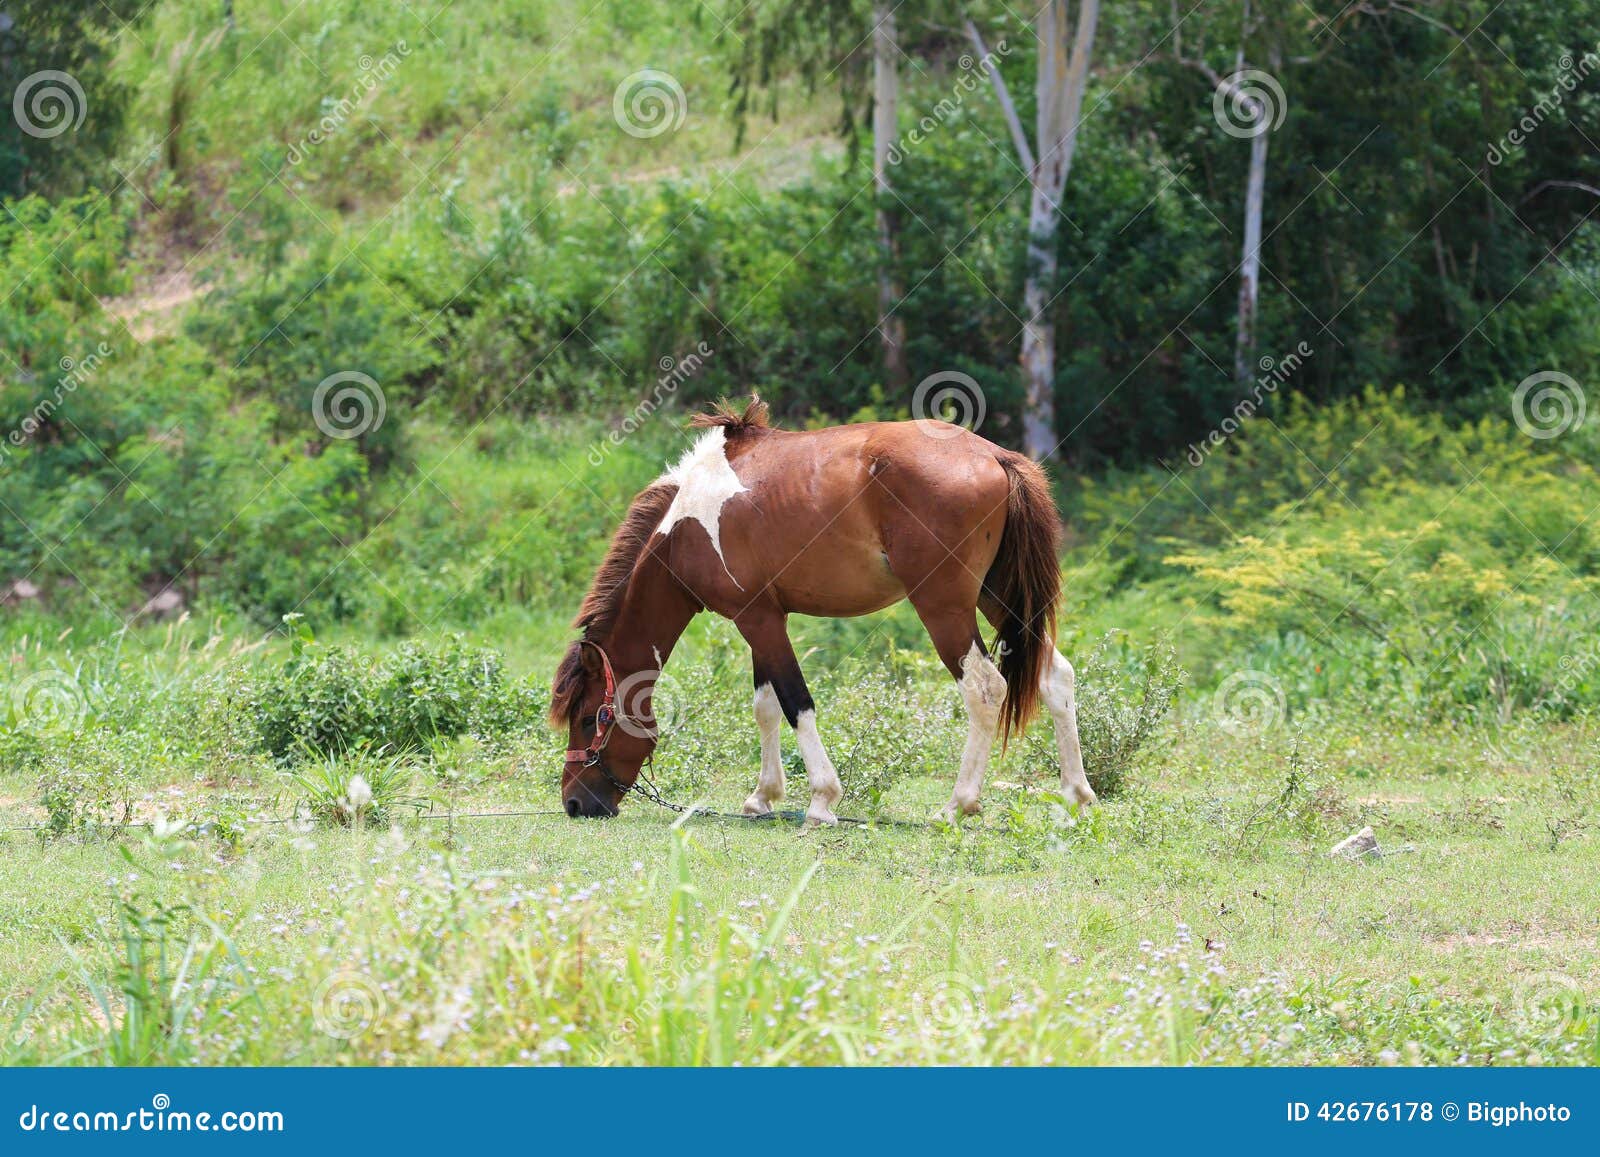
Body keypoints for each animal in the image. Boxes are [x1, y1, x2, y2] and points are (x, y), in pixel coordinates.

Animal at [550, 397, 1095, 824]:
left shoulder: (758, 620)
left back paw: (958, 805)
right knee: (1056, 677)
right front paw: (763, 797)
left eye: (589, 718)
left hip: (945, 608)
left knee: (984, 689)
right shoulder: (762, 618)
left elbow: (796, 703)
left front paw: (821, 800)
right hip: (999, 598)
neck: (686, 523)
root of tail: (995, 455)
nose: (575, 803)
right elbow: (766, 706)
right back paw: (1075, 796)